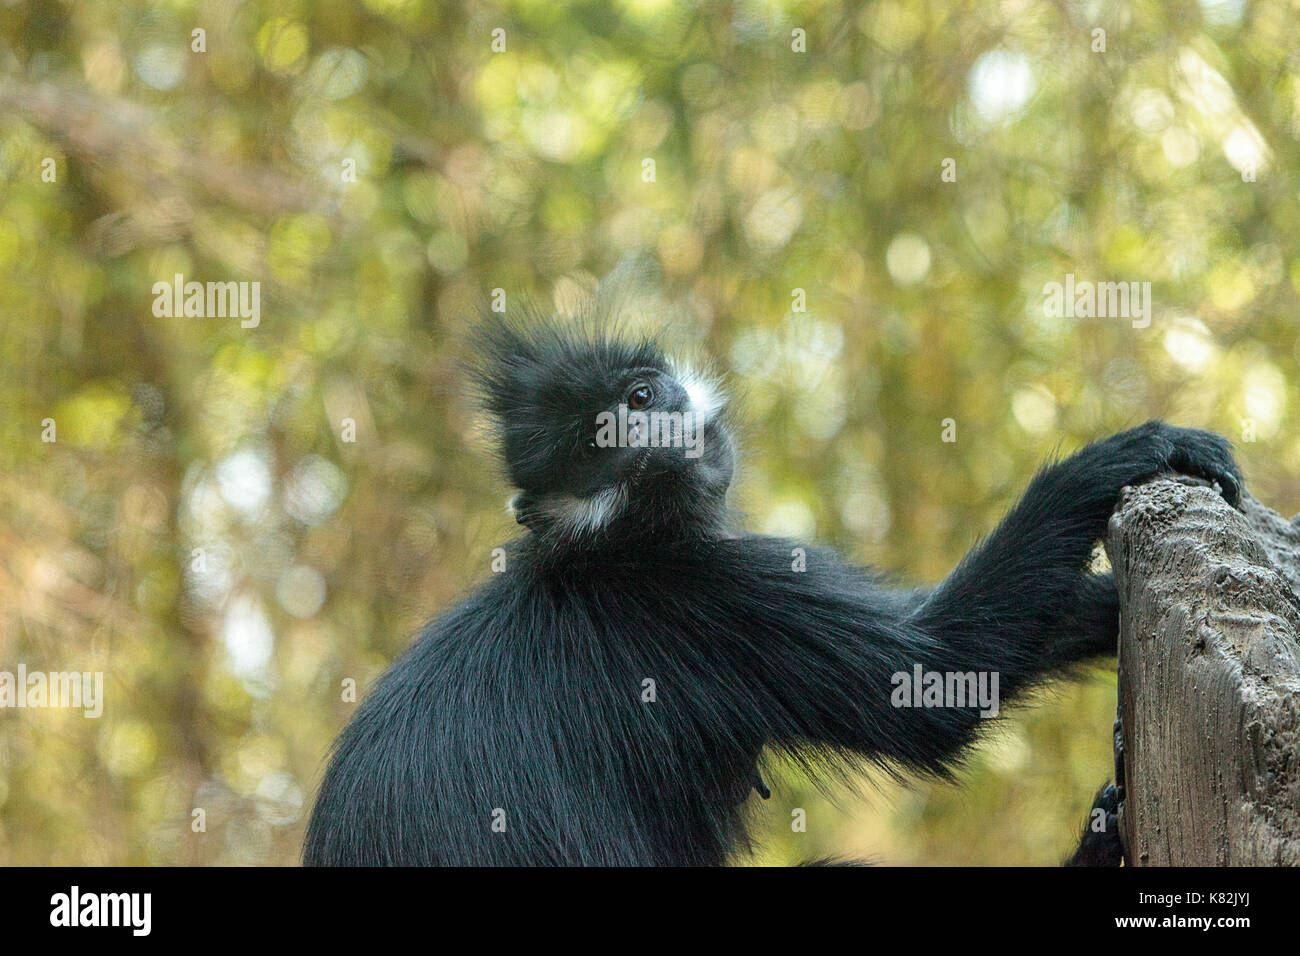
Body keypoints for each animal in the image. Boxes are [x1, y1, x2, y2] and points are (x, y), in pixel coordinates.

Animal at [302, 315, 1242, 866]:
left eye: (639, 396)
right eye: (601, 448)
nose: (653, 441)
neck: (606, 550)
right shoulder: (702, 599)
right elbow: (936, 677)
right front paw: (1127, 454)